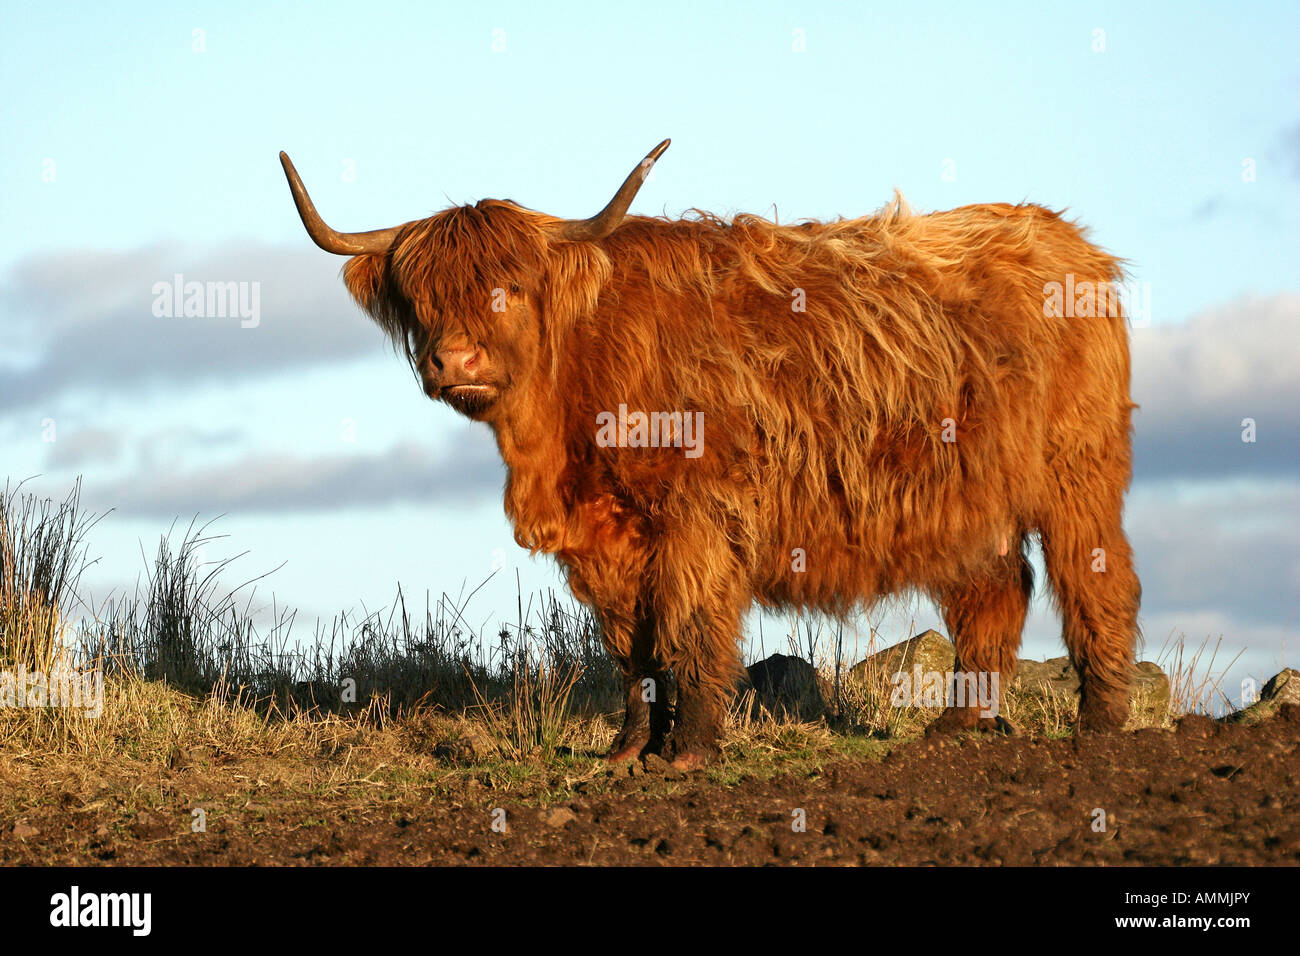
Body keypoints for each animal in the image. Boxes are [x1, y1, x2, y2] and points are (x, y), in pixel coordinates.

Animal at [280, 140, 1141, 770]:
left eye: (511, 290)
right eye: (421, 297)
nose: (453, 360)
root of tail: (1065, 237)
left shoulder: (698, 514)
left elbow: (690, 625)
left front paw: (688, 751)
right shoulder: (608, 537)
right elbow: (632, 644)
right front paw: (628, 751)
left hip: (1078, 470)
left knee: (1095, 578)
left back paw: (1099, 726)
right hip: (967, 495)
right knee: (997, 592)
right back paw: (955, 729)